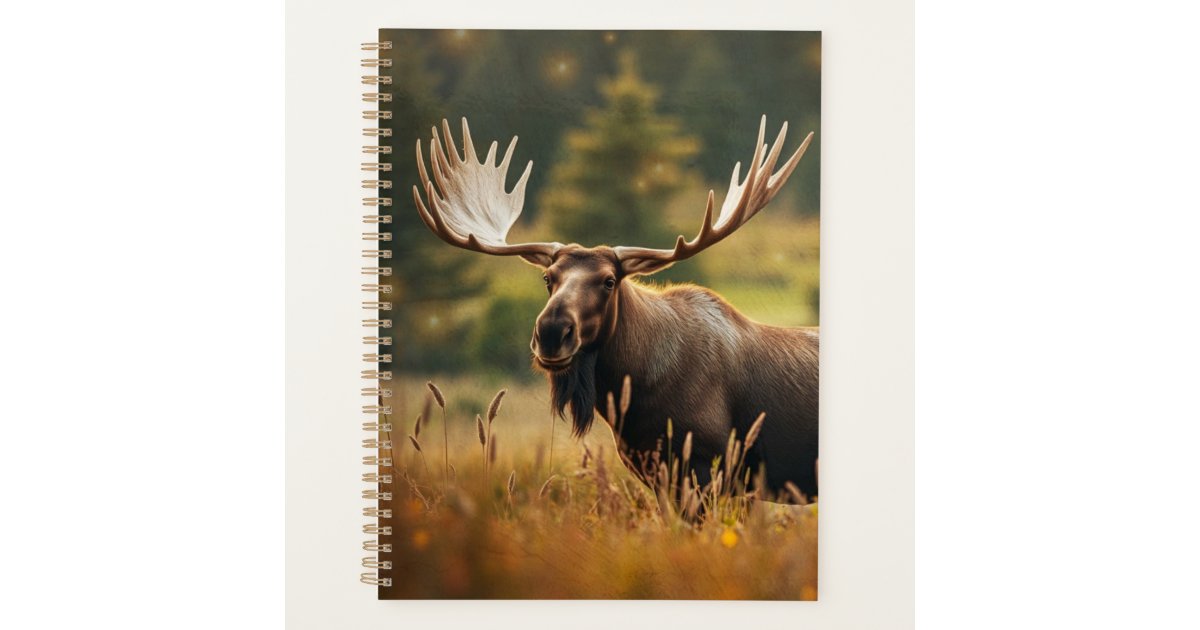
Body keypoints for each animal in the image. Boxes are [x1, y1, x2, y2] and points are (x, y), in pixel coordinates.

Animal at [411, 116, 818, 503]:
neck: (639, 392)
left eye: (609, 281)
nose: (552, 332)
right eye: (548, 277)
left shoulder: (713, 465)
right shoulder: (658, 473)